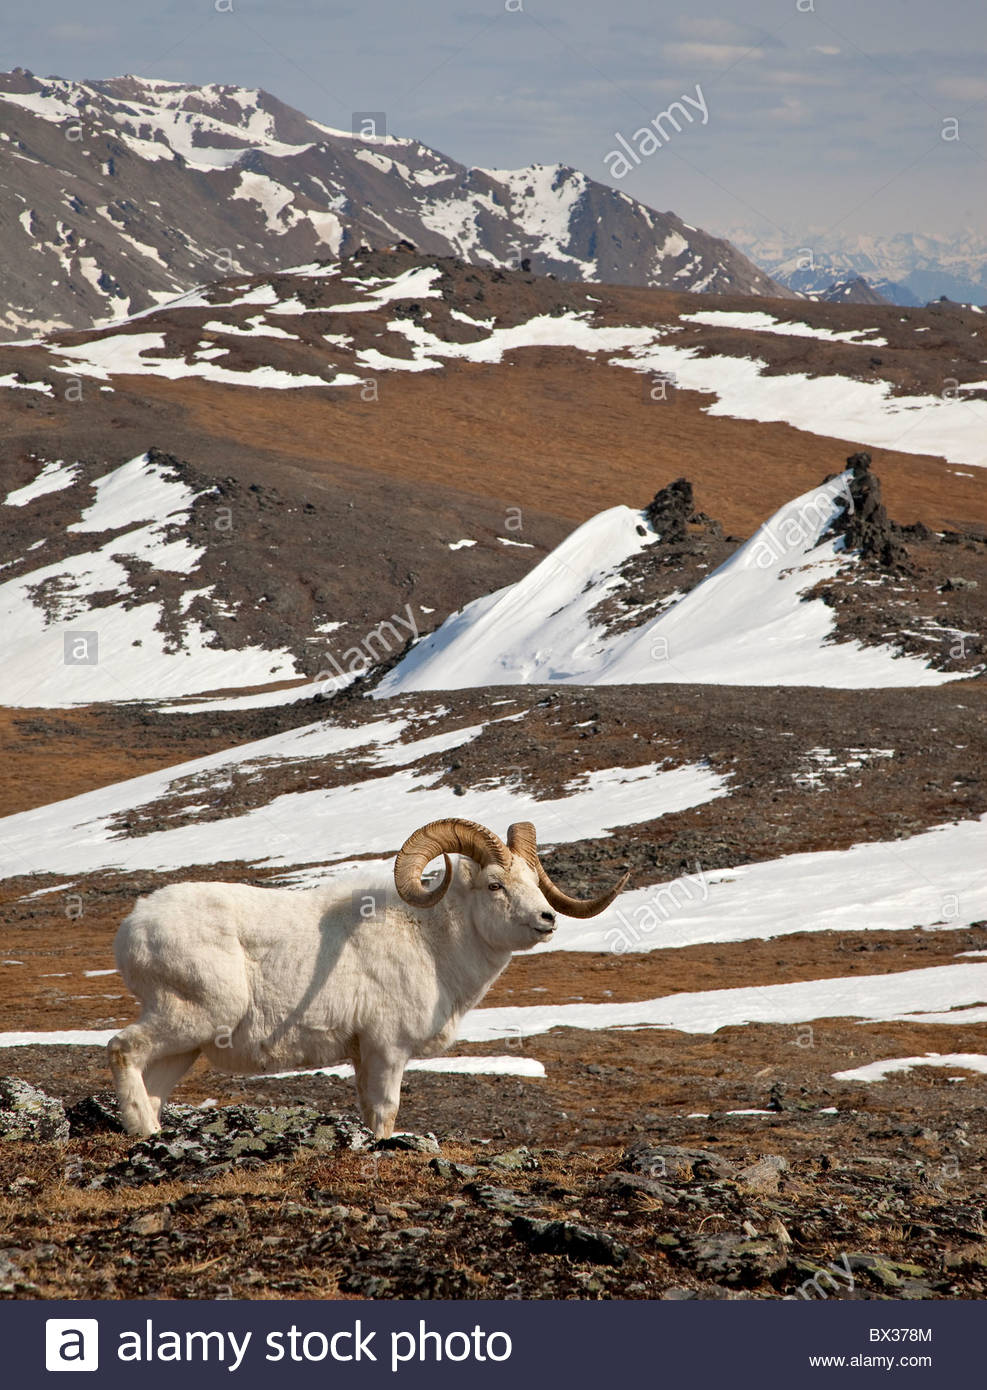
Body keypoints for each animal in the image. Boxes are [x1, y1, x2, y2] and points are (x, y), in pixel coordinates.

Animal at [108, 818, 627, 1138]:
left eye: (536, 884)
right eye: (494, 884)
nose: (546, 919)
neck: (432, 944)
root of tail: (133, 928)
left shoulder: (361, 1055)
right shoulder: (386, 1049)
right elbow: (384, 1114)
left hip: (186, 1045)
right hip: (190, 1018)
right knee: (122, 1049)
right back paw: (144, 1133)